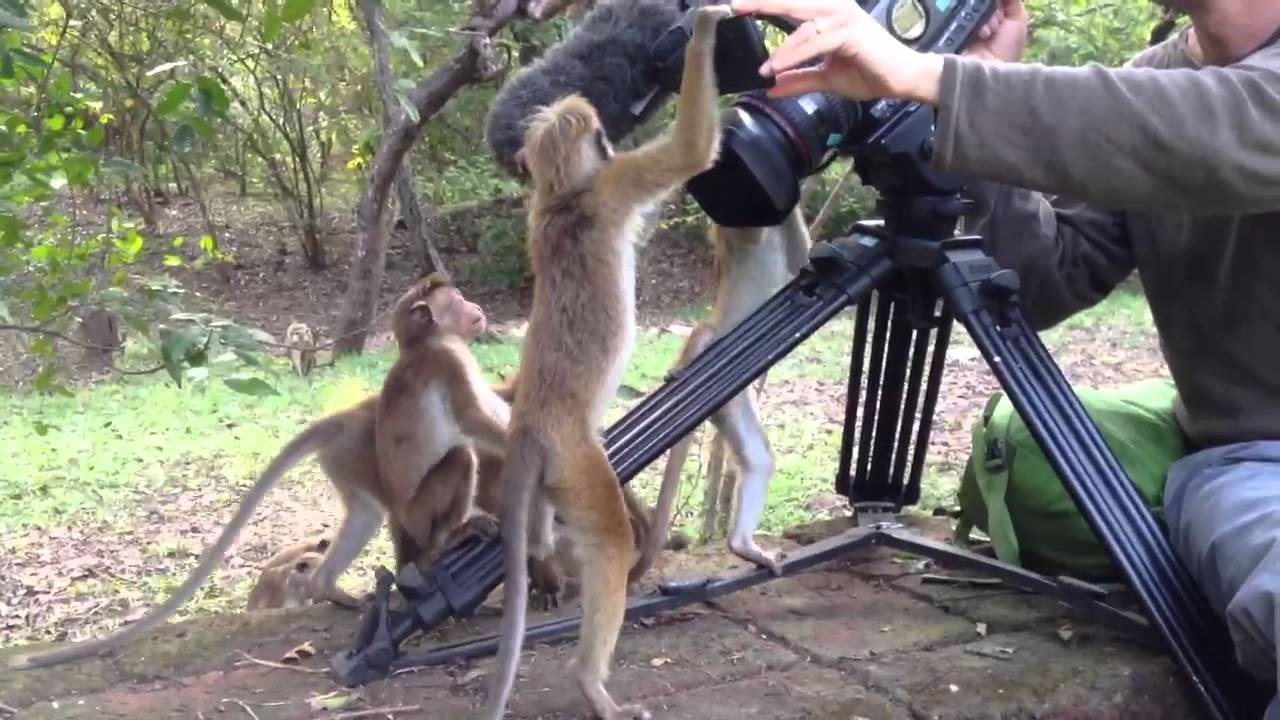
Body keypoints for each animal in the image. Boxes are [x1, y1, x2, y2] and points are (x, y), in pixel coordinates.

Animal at [481, 6, 731, 720]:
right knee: (612, 543)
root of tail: (530, 425)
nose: (610, 142)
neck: (562, 195)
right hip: (575, 463)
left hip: (549, 477)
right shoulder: (611, 190)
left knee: (545, 534)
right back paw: (590, 681)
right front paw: (705, 31)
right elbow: (690, 151)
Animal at [630, 207, 812, 583]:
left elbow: (802, 260)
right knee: (705, 332)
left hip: (732, 402)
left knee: (758, 457)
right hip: (720, 360)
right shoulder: (730, 230)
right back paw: (680, 368)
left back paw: (742, 545)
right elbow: (748, 234)